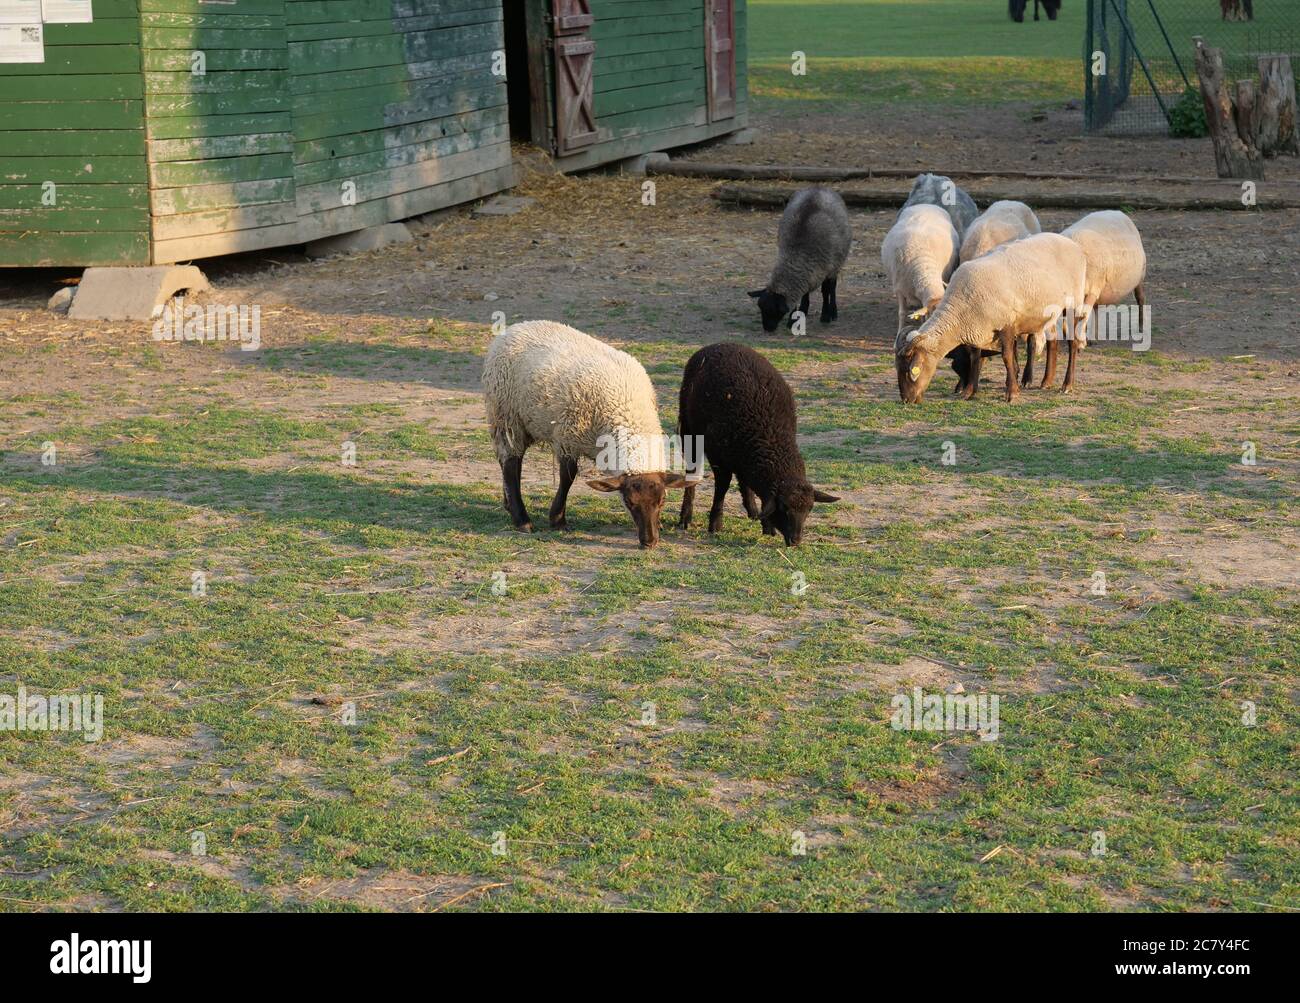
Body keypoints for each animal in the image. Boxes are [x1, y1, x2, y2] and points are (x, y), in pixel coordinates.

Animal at [482, 320, 687, 548]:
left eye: (663, 500)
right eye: (629, 501)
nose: (649, 541)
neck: (627, 411)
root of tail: (517, 326)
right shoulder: (567, 438)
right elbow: (568, 476)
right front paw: (557, 520)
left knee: (509, 463)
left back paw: (508, 503)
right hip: (507, 416)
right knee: (511, 464)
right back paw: (521, 520)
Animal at [677, 342, 839, 546]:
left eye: (809, 509)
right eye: (784, 508)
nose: (796, 541)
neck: (769, 434)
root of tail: (718, 344)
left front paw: (766, 526)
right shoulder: (719, 458)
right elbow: (722, 488)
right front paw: (715, 524)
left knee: (744, 477)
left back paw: (753, 511)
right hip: (689, 430)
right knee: (692, 473)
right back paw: (685, 517)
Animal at [749, 186, 851, 332]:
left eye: (776, 311)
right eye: (761, 308)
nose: (767, 328)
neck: (797, 253)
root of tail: (818, 186)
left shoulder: (827, 268)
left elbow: (826, 292)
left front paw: (825, 316)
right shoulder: (809, 272)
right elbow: (803, 294)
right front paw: (795, 318)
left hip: (837, 263)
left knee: (832, 288)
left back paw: (833, 312)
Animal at [882, 203, 961, 342]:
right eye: (932, 314)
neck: (924, 270)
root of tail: (926, 204)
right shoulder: (899, 289)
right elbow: (902, 313)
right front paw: (898, 335)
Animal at [895, 233, 1088, 403]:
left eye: (912, 370)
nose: (906, 400)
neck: (960, 307)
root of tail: (1072, 244)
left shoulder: (1006, 325)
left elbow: (1007, 358)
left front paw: (1012, 394)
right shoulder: (976, 328)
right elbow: (975, 359)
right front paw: (968, 392)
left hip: (1074, 302)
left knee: (1072, 343)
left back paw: (1067, 385)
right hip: (1049, 311)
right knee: (1053, 341)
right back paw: (1046, 381)